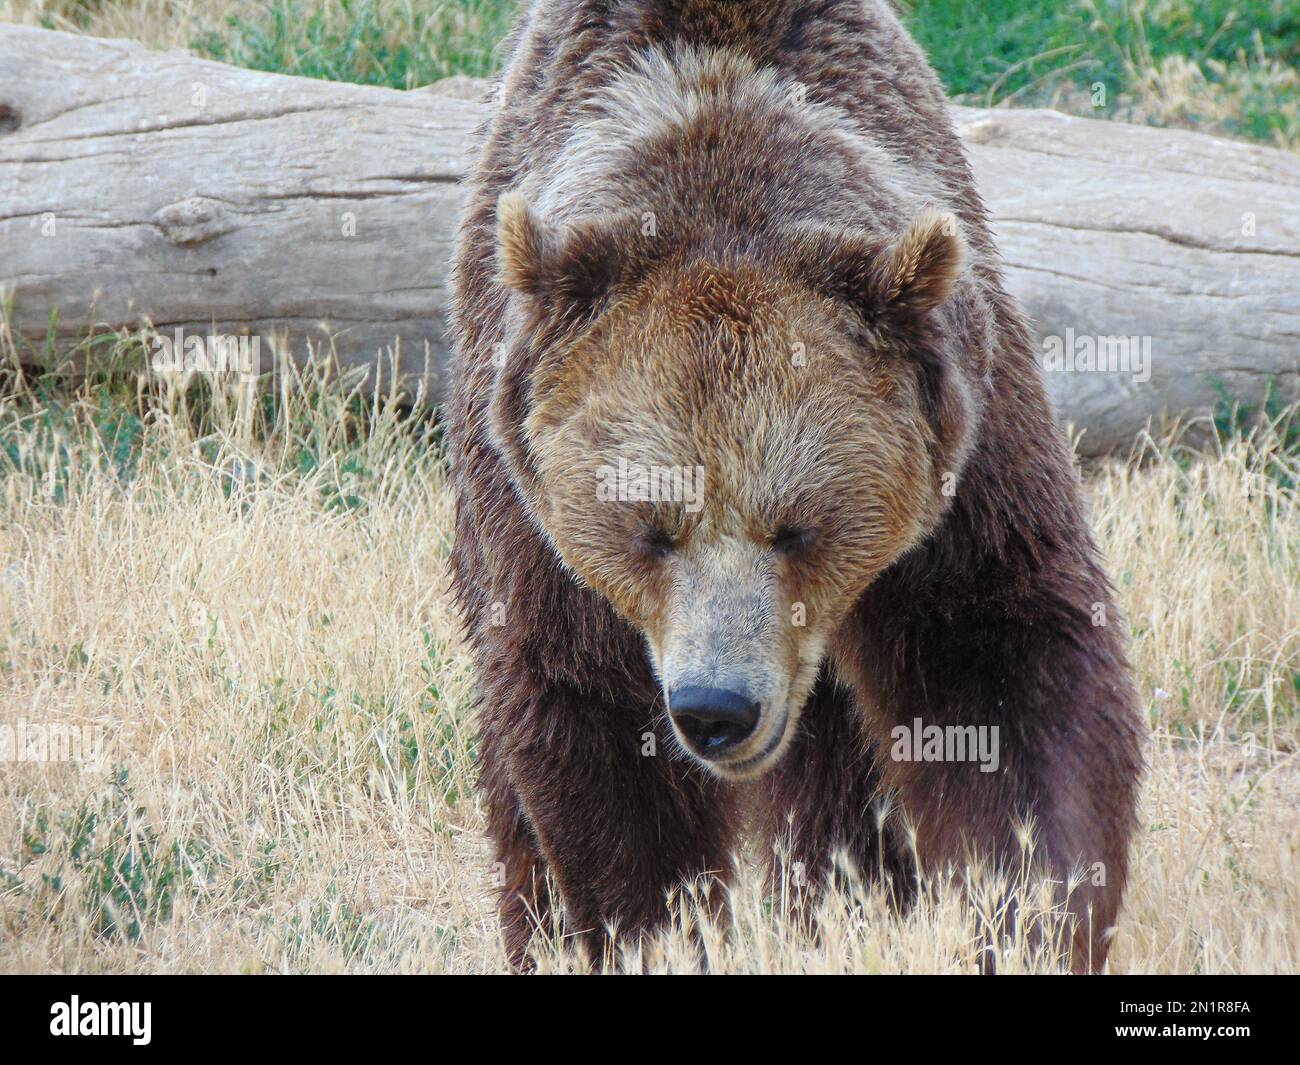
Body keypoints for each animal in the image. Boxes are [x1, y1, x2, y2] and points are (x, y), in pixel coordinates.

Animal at [446, 0, 1144, 974]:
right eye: (650, 529)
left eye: (799, 526)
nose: (717, 708)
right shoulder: (532, 510)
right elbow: (590, 718)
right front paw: (664, 930)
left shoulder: (963, 459)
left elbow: (999, 659)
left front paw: (1030, 915)